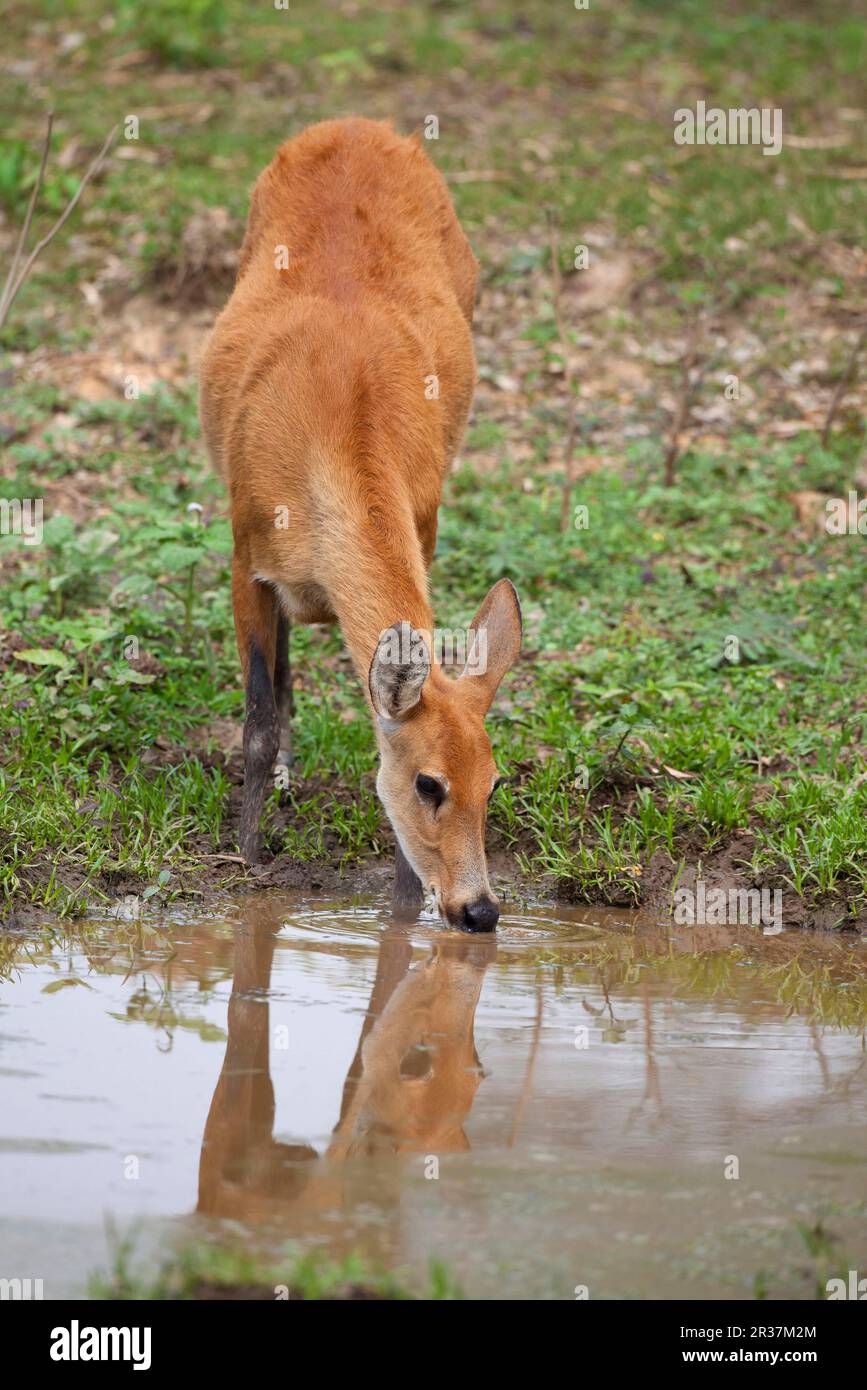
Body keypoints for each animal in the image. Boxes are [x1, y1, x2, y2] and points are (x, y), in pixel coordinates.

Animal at [199, 117, 522, 932]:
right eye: (429, 784)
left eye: (495, 783)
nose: (478, 910)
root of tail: (359, 126)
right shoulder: (244, 550)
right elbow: (255, 721)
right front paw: (247, 856)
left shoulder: (424, 526)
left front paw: (403, 904)